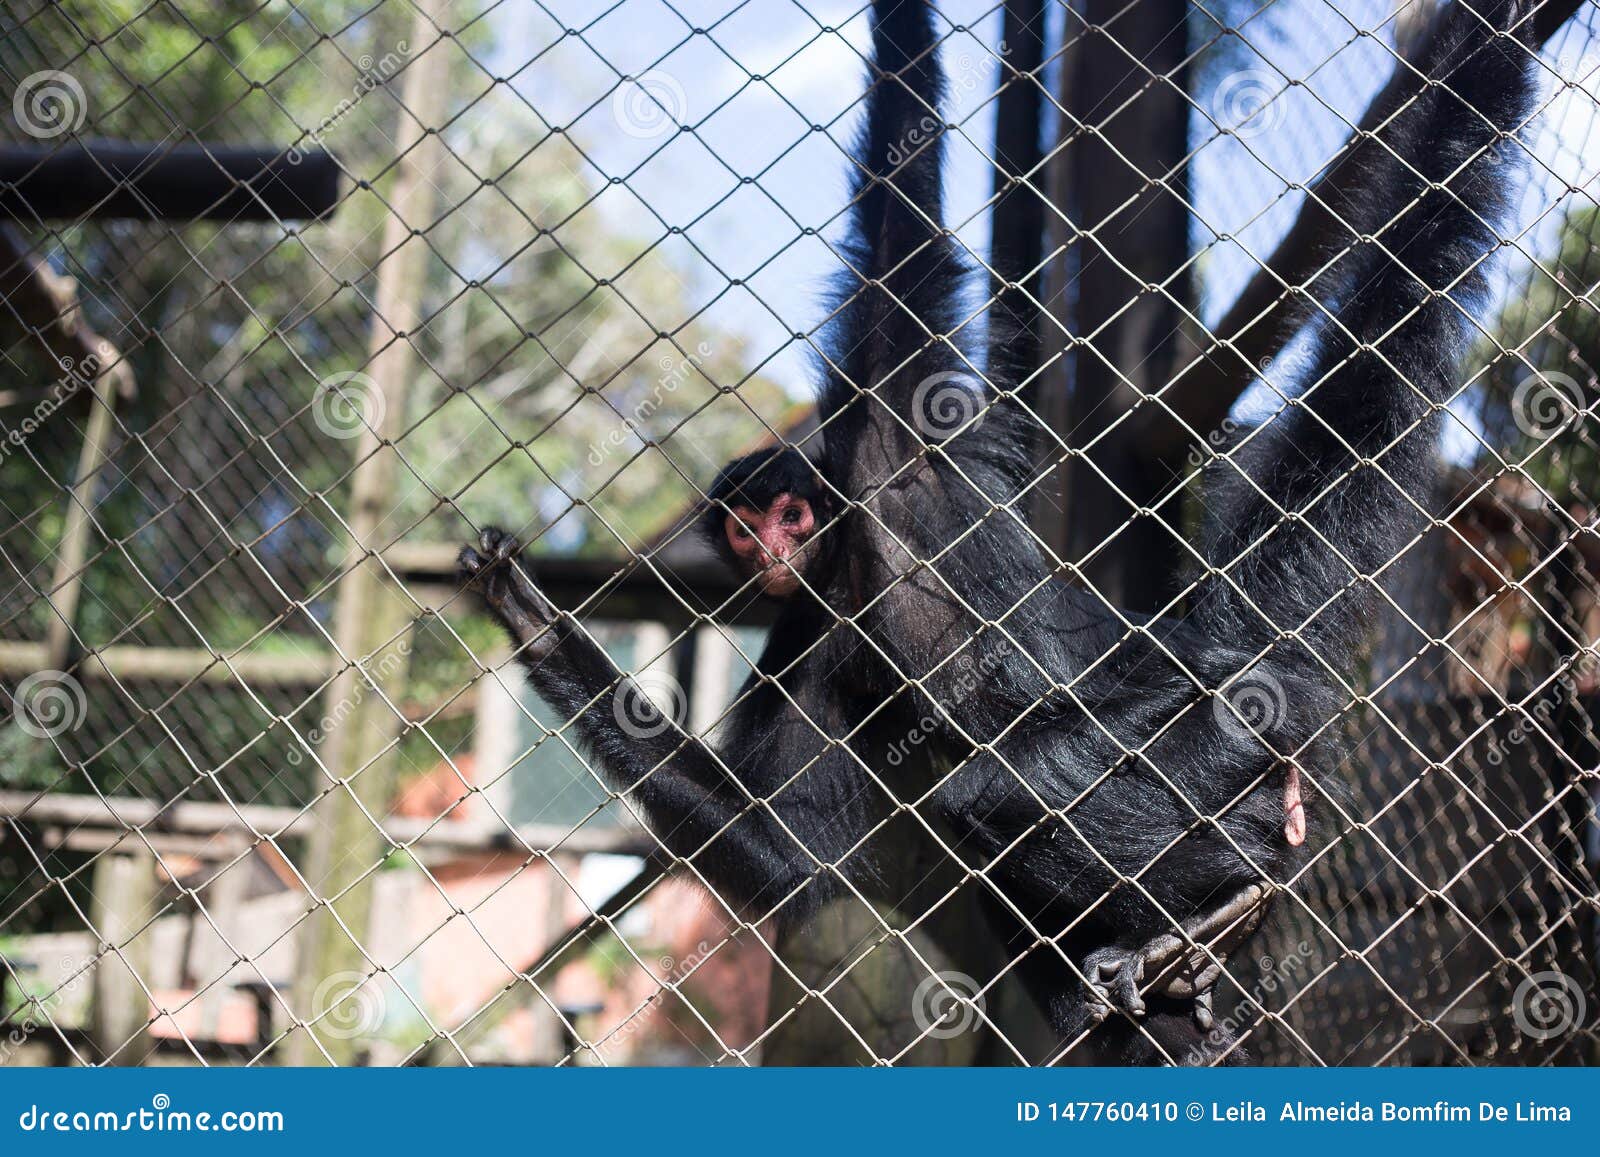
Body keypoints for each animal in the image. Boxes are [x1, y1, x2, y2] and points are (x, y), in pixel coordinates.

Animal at [461, 0, 1536, 1062]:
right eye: (741, 529)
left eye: (788, 513)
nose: (768, 550)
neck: (848, 553)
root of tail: (1213, 640)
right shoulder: (803, 626)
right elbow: (786, 843)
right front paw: (534, 620)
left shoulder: (889, 430)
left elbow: (903, 204)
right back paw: (1145, 989)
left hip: (1207, 728)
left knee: (989, 797)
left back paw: (1214, 909)